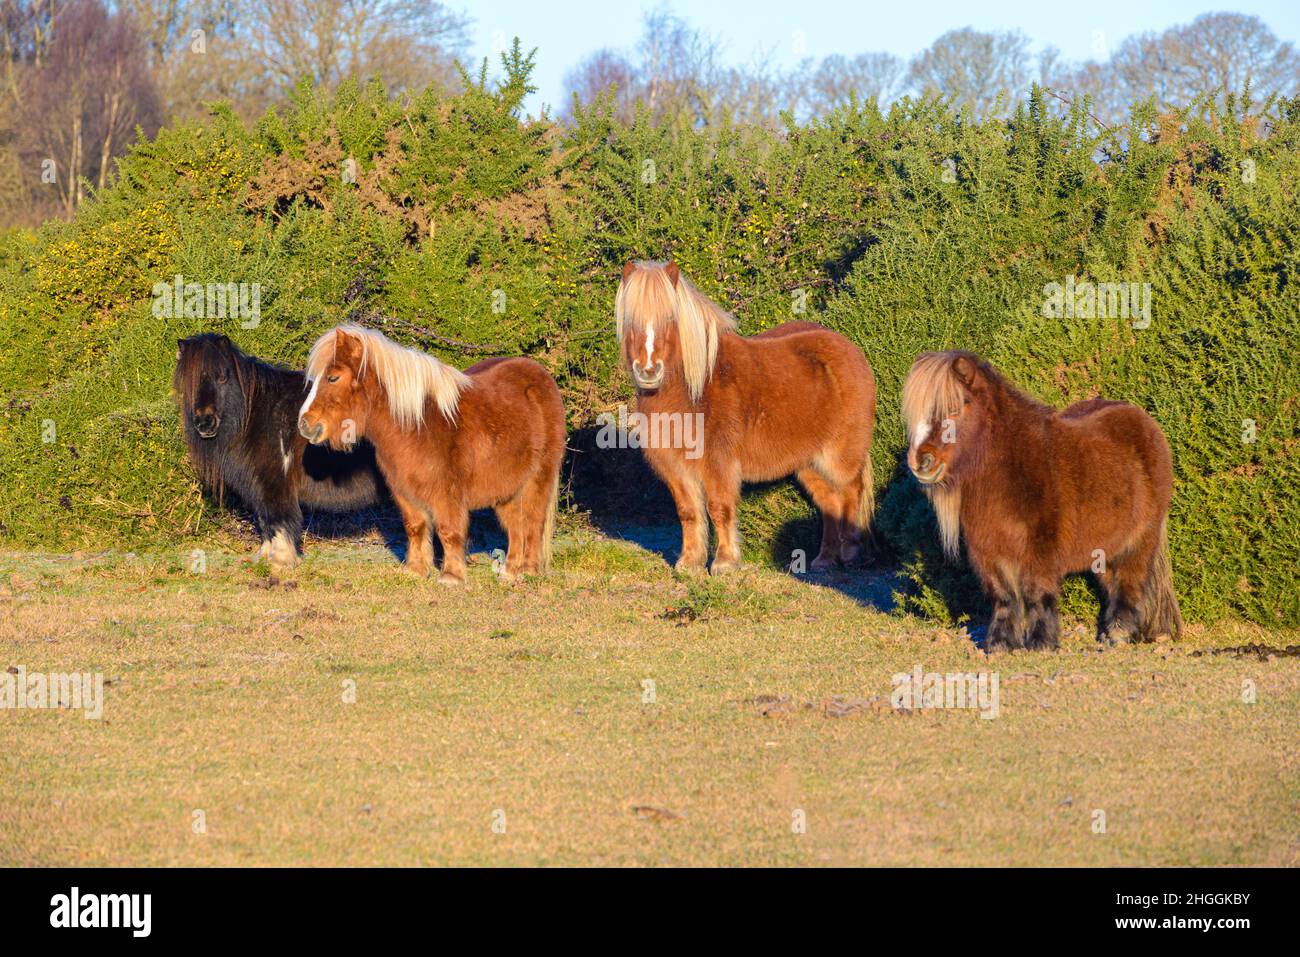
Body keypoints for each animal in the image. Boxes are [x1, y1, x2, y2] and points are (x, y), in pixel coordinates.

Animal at [173, 333, 388, 569]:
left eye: (222, 377)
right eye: (191, 382)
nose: (205, 423)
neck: (255, 414)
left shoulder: (274, 482)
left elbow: (279, 518)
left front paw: (281, 560)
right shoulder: (259, 485)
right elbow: (265, 519)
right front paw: (265, 557)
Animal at [297, 325, 566, 584]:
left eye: (333, 377)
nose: (305, 424)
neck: (419, 425)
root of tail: (540, 375)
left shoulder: (448, 493)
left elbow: (449, 531)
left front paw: (451, 576)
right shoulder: (404, 490)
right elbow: (415, 527)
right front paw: (415, 571)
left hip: (538, 479)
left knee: (533, 522)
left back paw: (528, 571)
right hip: (507, 488)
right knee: (515, 527)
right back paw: (509, 572)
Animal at [616, 260, 877, 574]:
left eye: (670, 319)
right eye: (630, 320)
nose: (649, 371)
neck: (694, 390)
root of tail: (850, 350)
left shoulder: (717, 464)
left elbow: (719, 508)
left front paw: (725, 563)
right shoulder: (675, 467)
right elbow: (688, 512)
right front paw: (689, 563)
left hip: (840, 455)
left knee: (850, 492)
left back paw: (849, 554)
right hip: (808, 462)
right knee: (829, 502)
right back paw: (824, 560)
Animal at [902, 350, 1182, 652]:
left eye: (957, 406)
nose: (920, 462)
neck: (1010, 472)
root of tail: (1144, 421)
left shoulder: (1040, 550)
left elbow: (1037, 593)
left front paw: (1041, 642)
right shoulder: (988, 552)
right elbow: (1003, 596)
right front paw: (1000, 644)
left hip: (1141, 539)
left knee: (1130, 582)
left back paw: (1119, 634)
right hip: (1106, 545)